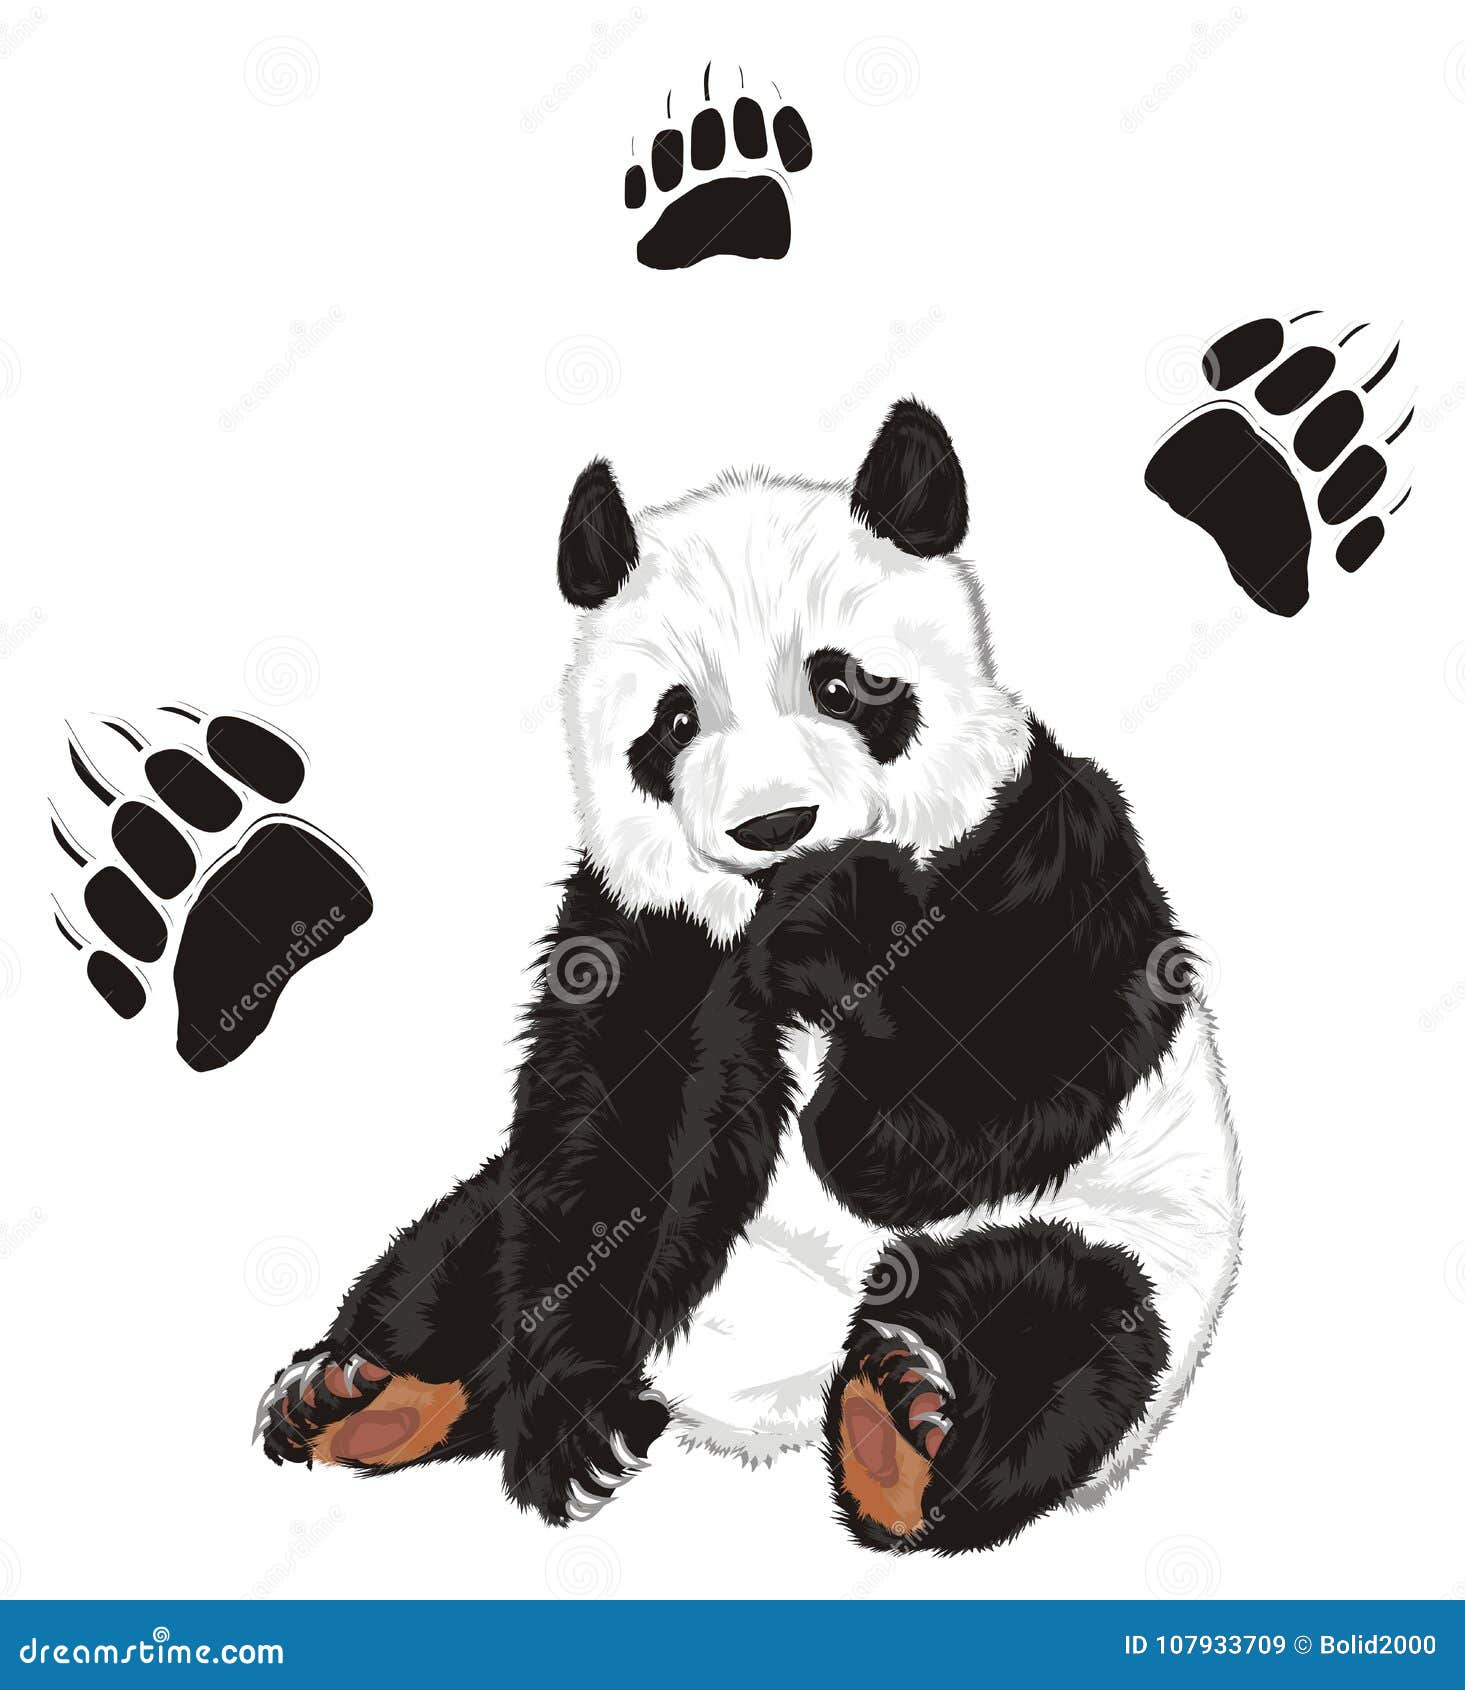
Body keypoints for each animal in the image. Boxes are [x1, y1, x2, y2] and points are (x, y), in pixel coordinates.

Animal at [256, 400, 1241, 1555]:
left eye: (842, 682)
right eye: (674, 718)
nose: (776, 826)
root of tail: (746, 1409)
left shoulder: (1037, 844)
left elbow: (1009, 1062)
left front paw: (839, 939)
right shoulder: (641, 936)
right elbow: (595, 1147)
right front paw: (566, 1427)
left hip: (1118, 1241)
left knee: (1063, 1332)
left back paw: (904, 1421)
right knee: (462, 1252)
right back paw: (358, 1395)